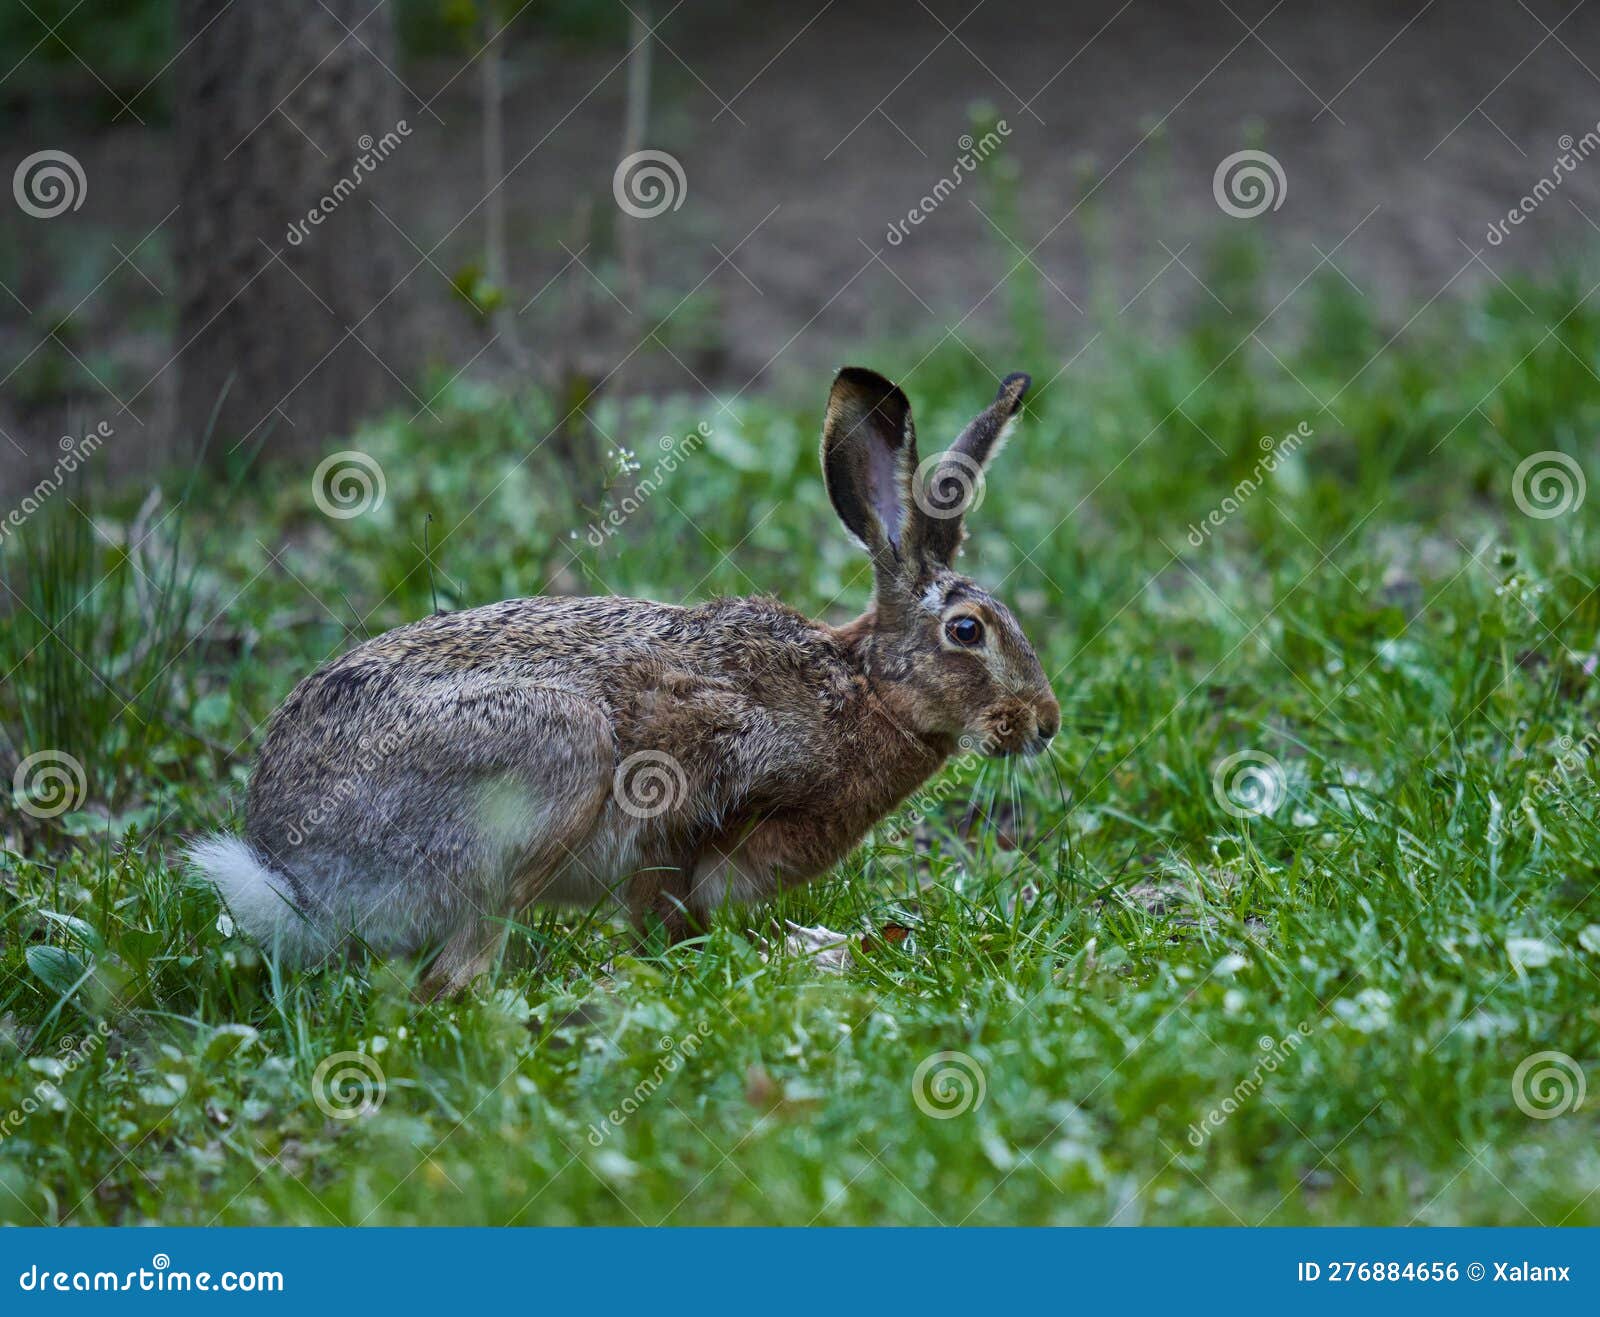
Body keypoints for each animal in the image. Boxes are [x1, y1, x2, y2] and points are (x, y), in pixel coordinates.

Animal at [188, 366, 1060, 997]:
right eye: (968, 631)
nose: (1045, 721)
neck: (865, 687)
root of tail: (290, 869)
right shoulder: (693, 806)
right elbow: (663, 903)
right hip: (554, 755)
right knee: (454, 976)